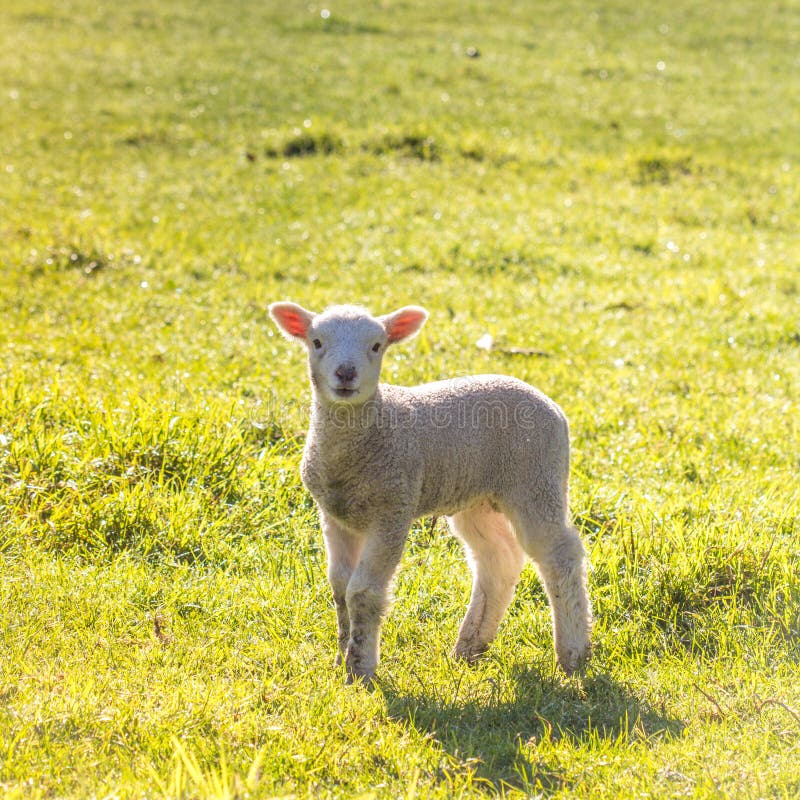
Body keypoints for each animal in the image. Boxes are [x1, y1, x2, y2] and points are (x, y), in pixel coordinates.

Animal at [269, 301, 592, 684]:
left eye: (377, 345)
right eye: (316, 342)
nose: (346, 374)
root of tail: (550, 403)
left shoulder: (392, 511)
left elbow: (361, 592)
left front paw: (361, 668)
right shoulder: (335, 514)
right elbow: (339, 588)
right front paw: (341, 658)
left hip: (537, 478)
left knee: (560, 555)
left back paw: (573, 655)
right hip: (478, 497)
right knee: (498, 560)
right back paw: (470, 647)